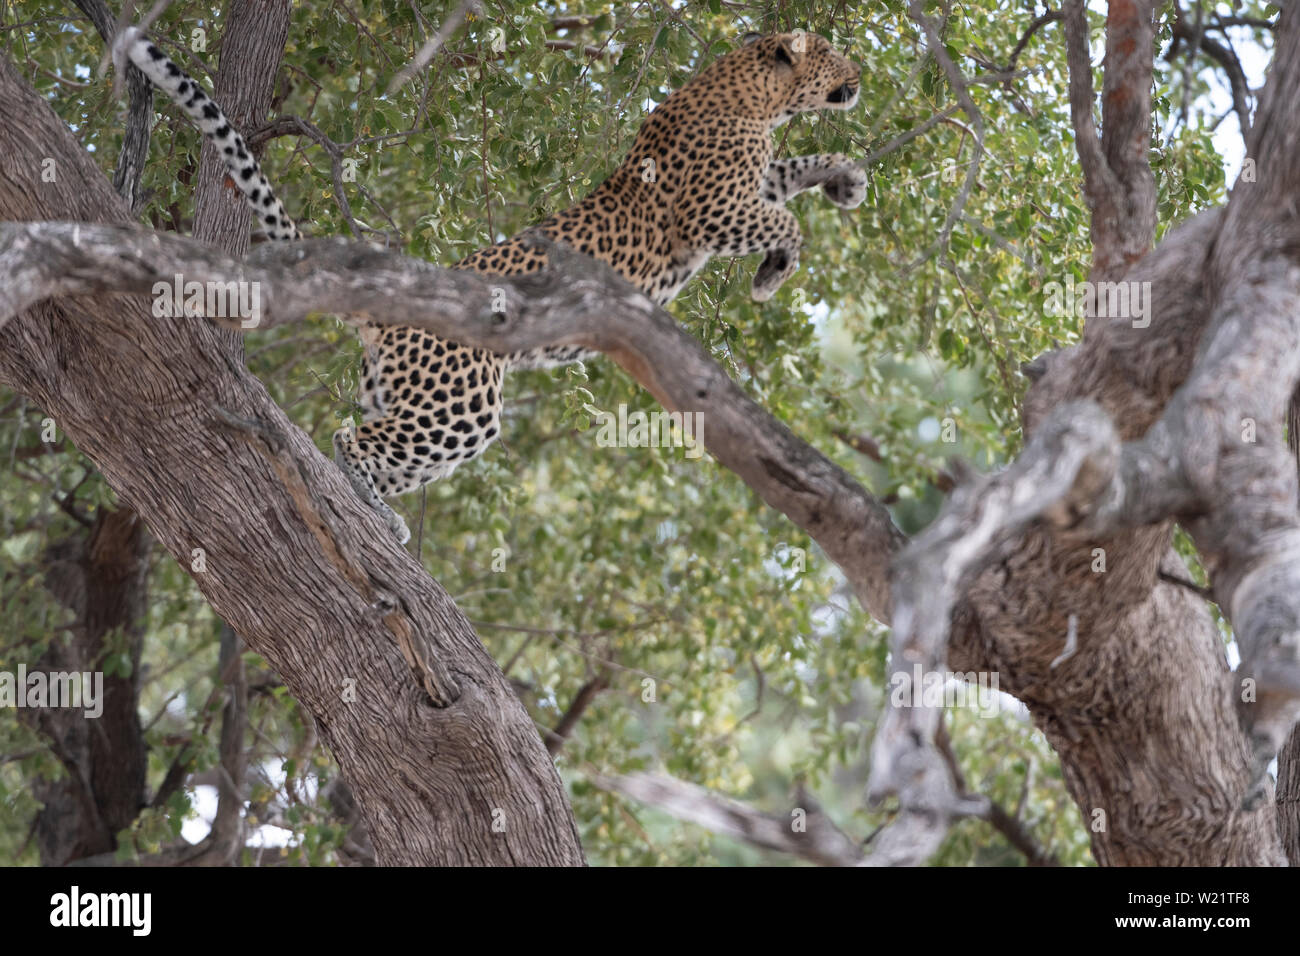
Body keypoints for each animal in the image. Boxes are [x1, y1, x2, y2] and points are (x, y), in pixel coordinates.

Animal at [115, 26, 867, 544]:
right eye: (832, 52)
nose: (859, 75)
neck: (754, 95)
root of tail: (391, 312)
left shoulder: (749, 187)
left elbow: (796, 170)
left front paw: (846, 178)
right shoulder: (714, 208)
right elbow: (782, 220)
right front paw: (775, 271)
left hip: (408, 395)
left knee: (365, 433)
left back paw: (383, 514)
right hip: (460, 406)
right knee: (349, 438)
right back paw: (377, 512)